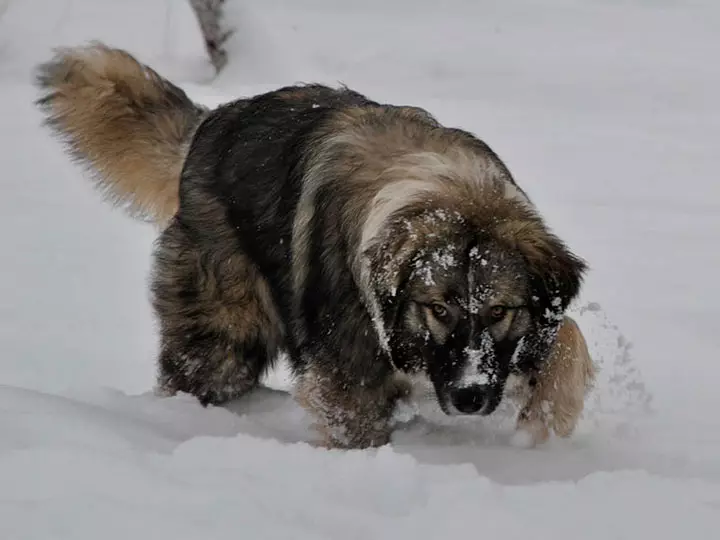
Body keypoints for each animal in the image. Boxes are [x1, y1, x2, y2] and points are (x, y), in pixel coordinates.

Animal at [33, 41, 592, 448]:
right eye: (436, 309)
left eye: (500, 311)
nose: (470, 397)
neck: (454, 199)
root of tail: (209, 126)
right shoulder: (348, 368)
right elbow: (355, 423)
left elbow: (567, 340)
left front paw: (545, 424)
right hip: (224, 327)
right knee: (204, 370)